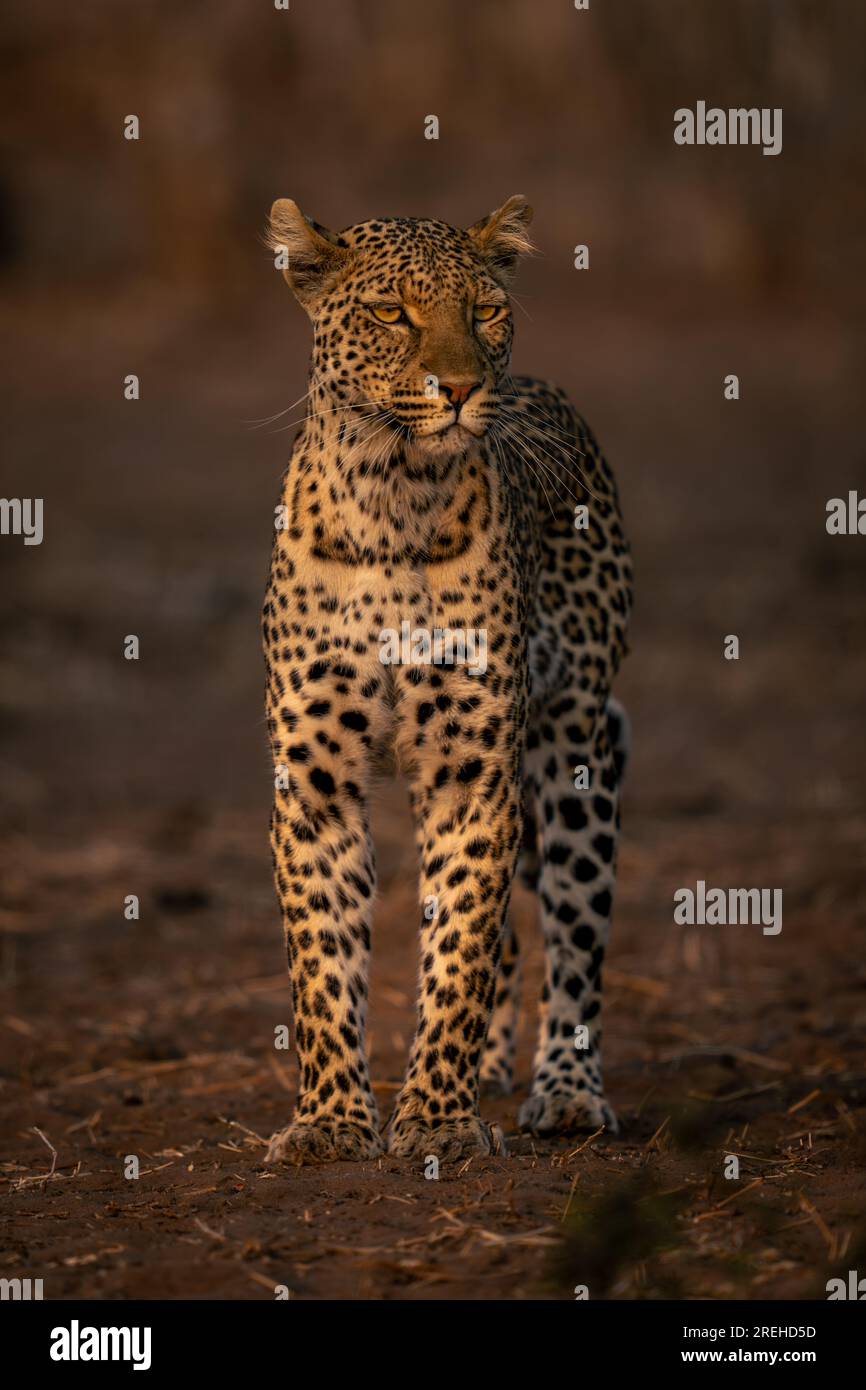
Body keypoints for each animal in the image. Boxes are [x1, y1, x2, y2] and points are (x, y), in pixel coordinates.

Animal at [260, 194, 633, 1164]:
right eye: (392, 313)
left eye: (486, 311)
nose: (460, 390)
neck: (394, 495)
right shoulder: (313, 779)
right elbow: (323, 962)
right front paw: (329, 1123)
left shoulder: (474, 772)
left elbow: (462, 945)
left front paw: (436, 1118)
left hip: (577, 748)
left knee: (571, 936)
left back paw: (565, 1092)